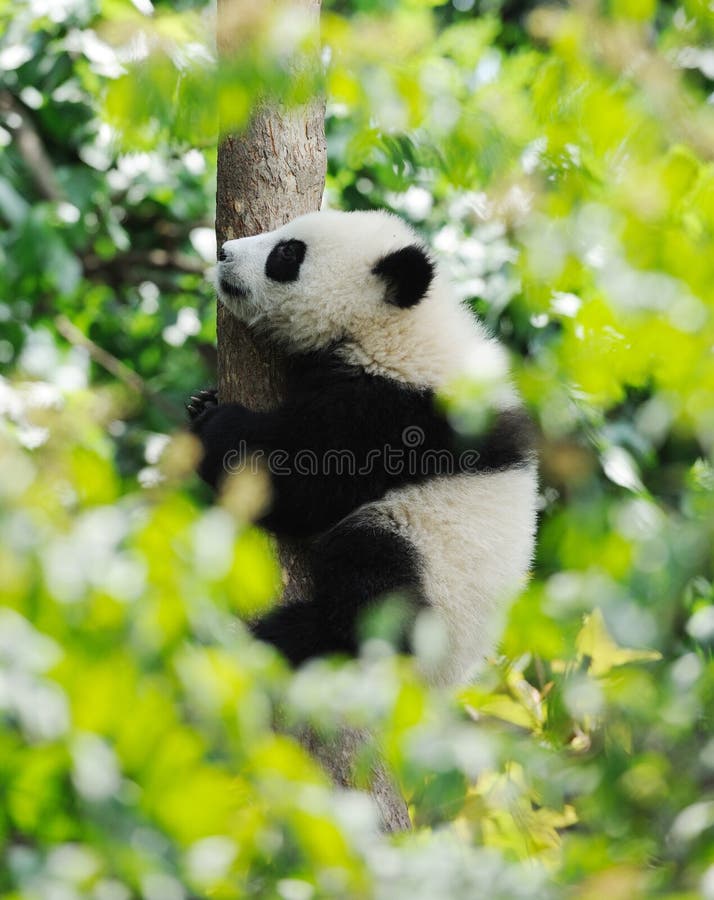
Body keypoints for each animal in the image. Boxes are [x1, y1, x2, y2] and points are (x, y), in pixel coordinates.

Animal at [187, 209, 537, 685]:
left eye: (288, 254)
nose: (223, 252)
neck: (396, 325)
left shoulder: (393, 412)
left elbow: (305, 481)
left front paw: (216, 425)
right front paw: (201, 403)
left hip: (432, 559)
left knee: (376, 596)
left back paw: (292, 638)